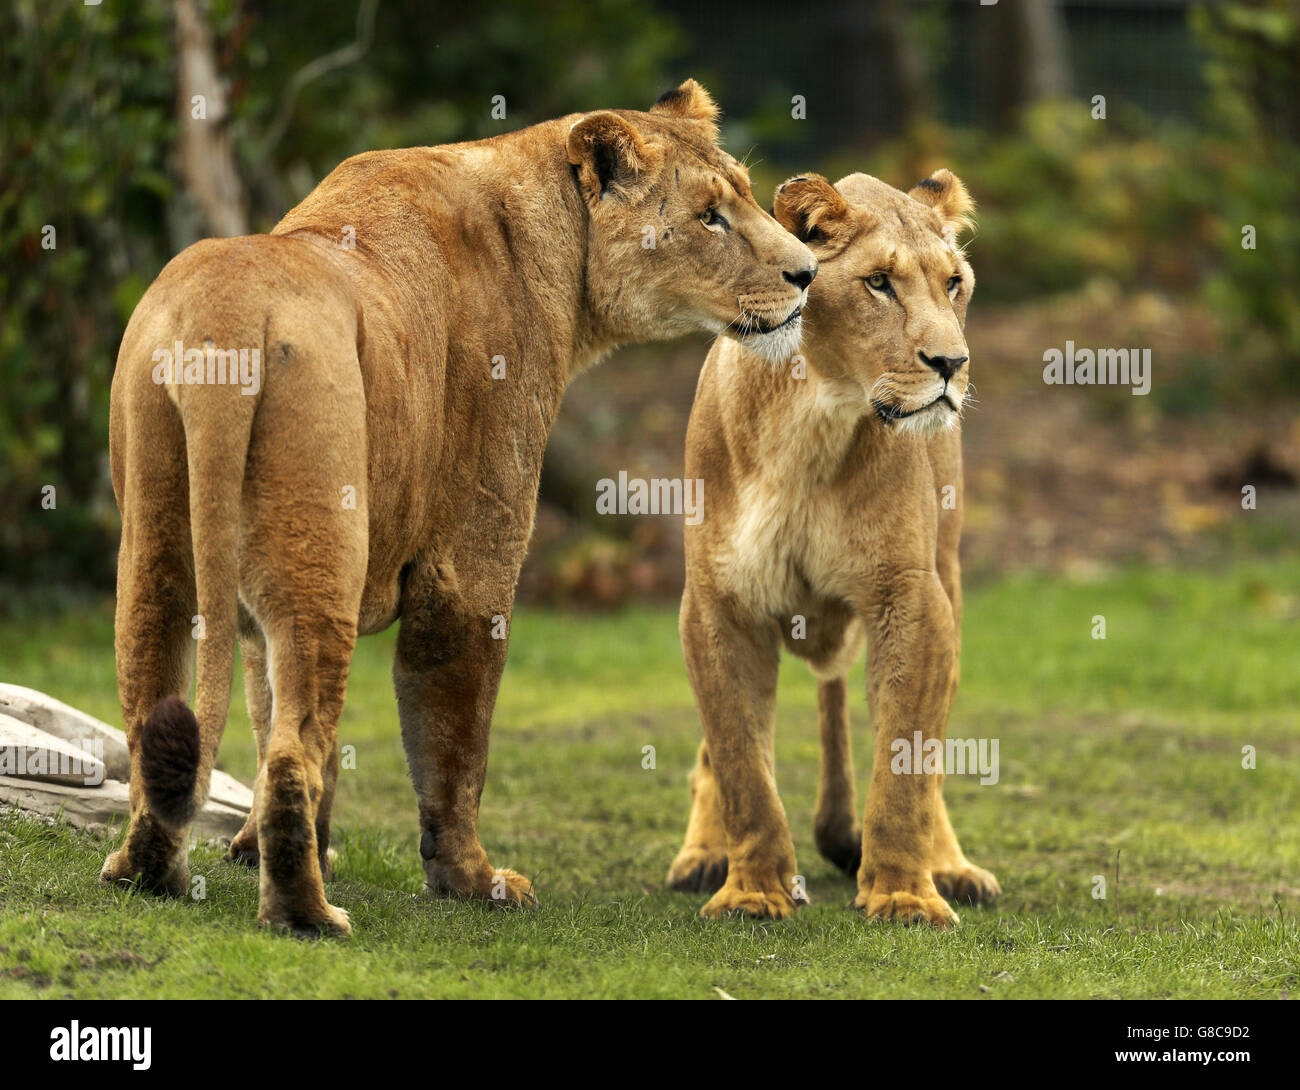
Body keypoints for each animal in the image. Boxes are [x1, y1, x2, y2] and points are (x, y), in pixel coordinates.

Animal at [101, 80, 817, 935]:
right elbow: (454, 741)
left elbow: (275, 710)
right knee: (292, 754)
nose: (809, 272)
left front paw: (261, 850)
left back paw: (146, 872)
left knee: (164, 712)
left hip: (156, 555)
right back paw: (308, 915)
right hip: (317, 563)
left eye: (745, 196)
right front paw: (471, 881)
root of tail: (226, 316)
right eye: (710, 215)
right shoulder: (469, 566)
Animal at [666, 169, 1000, 926]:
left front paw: (905, 894)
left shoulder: (911, 600)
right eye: (878, 283)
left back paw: (952, 868)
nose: (952, 363)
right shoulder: (717, 605)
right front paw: (753, 891)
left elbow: (906, 763)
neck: (812, 420)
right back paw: (702, 855)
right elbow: (740, 761)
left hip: (951, 584)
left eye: (954, 284)